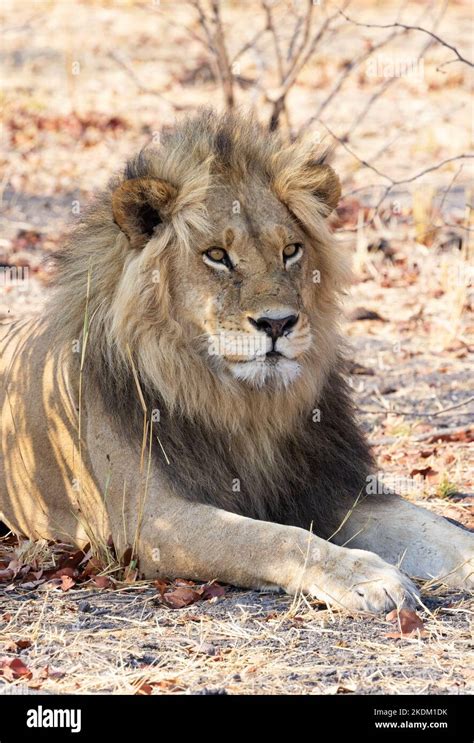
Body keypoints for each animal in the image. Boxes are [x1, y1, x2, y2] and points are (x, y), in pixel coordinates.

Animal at [1, 110, 472, 612]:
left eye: (291, 251)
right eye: (217, 256)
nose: (278, 323)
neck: (242, 403)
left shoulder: (329, 489)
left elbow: (441, 530)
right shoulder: (153, 523)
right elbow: (278, 539)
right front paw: (368, 575)